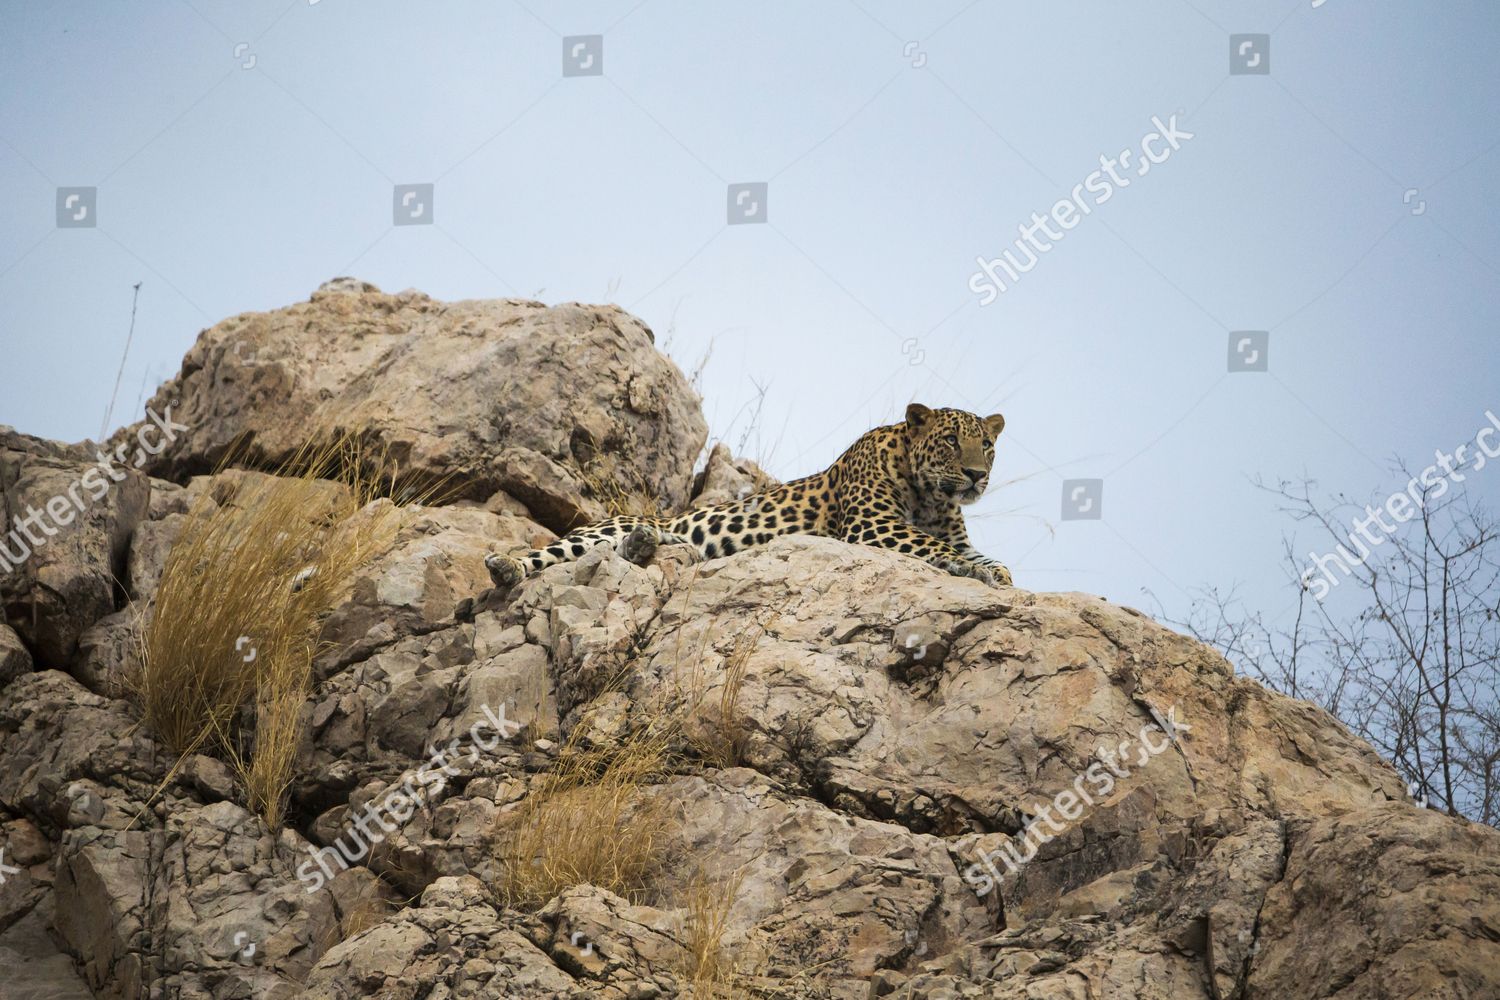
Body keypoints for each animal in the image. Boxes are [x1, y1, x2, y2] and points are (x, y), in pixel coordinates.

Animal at [485, 404, 1011, 590]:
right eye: (951, 441)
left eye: (987, 444)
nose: (976, 474)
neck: (931, 495)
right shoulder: (874, 526)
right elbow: (930, 545)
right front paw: (972, 571)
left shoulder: (953, 535)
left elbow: (978, 555)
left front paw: (994, 573)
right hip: (597, 529)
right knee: (552, 554)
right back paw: (506, 566)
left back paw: (642, 545)